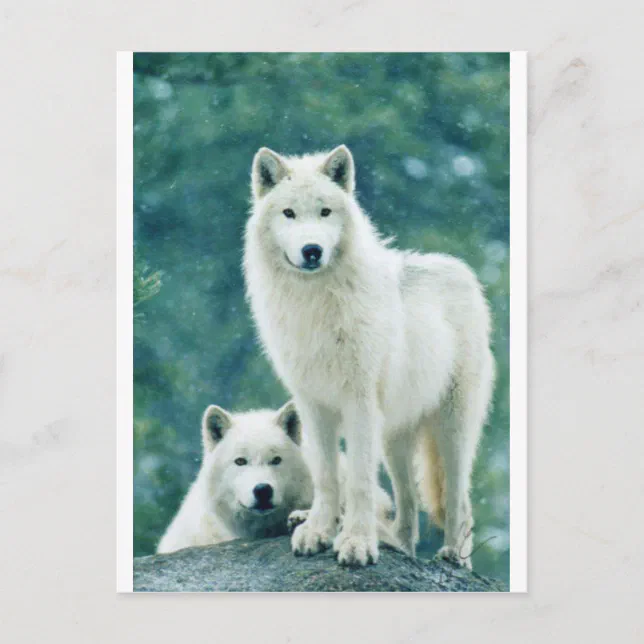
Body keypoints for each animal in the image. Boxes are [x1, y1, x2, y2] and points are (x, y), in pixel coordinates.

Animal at [244, 145, 494, 568]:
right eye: (289, 213)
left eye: (325, 212)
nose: (312, 251)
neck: (314, 304)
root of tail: (462, 271)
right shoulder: (312, 404)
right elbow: (326, 475)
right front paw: (318, 531)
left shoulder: (358, 401)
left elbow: (359, 480)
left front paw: (356, 542)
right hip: (395, 437)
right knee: (408, 509)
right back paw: (392, 542)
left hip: (451, 428)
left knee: (459, 497)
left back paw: (454, 557)